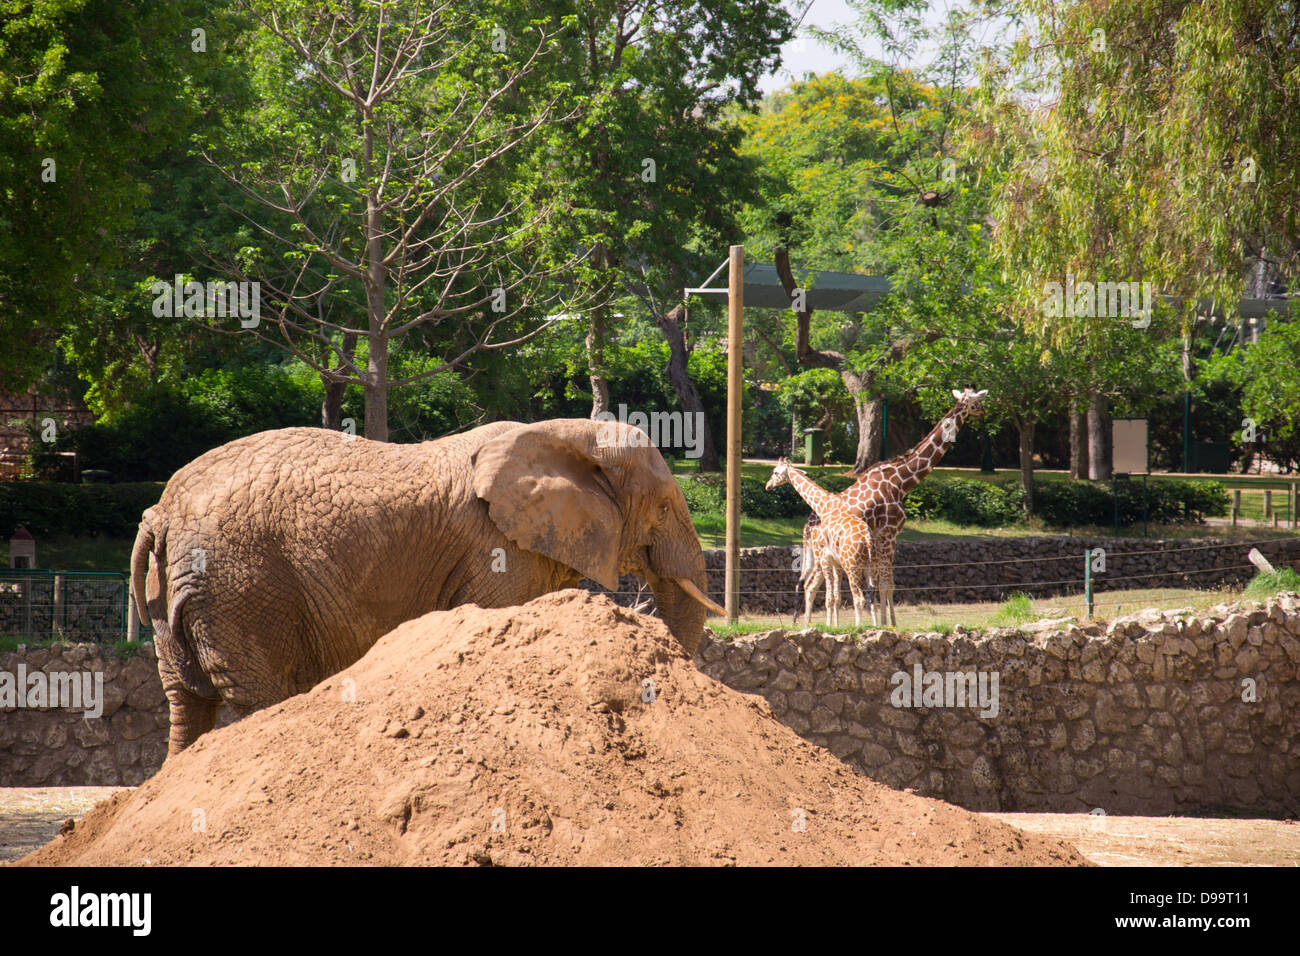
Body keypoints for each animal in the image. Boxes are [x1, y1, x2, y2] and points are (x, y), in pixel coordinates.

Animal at [130, 418, 724, 756]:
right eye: (664, 508)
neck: (572, 436)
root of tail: (159, 513)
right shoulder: (495, 550)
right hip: (244, 587)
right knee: (261, 695)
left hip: (188, 593)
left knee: (188, 705)